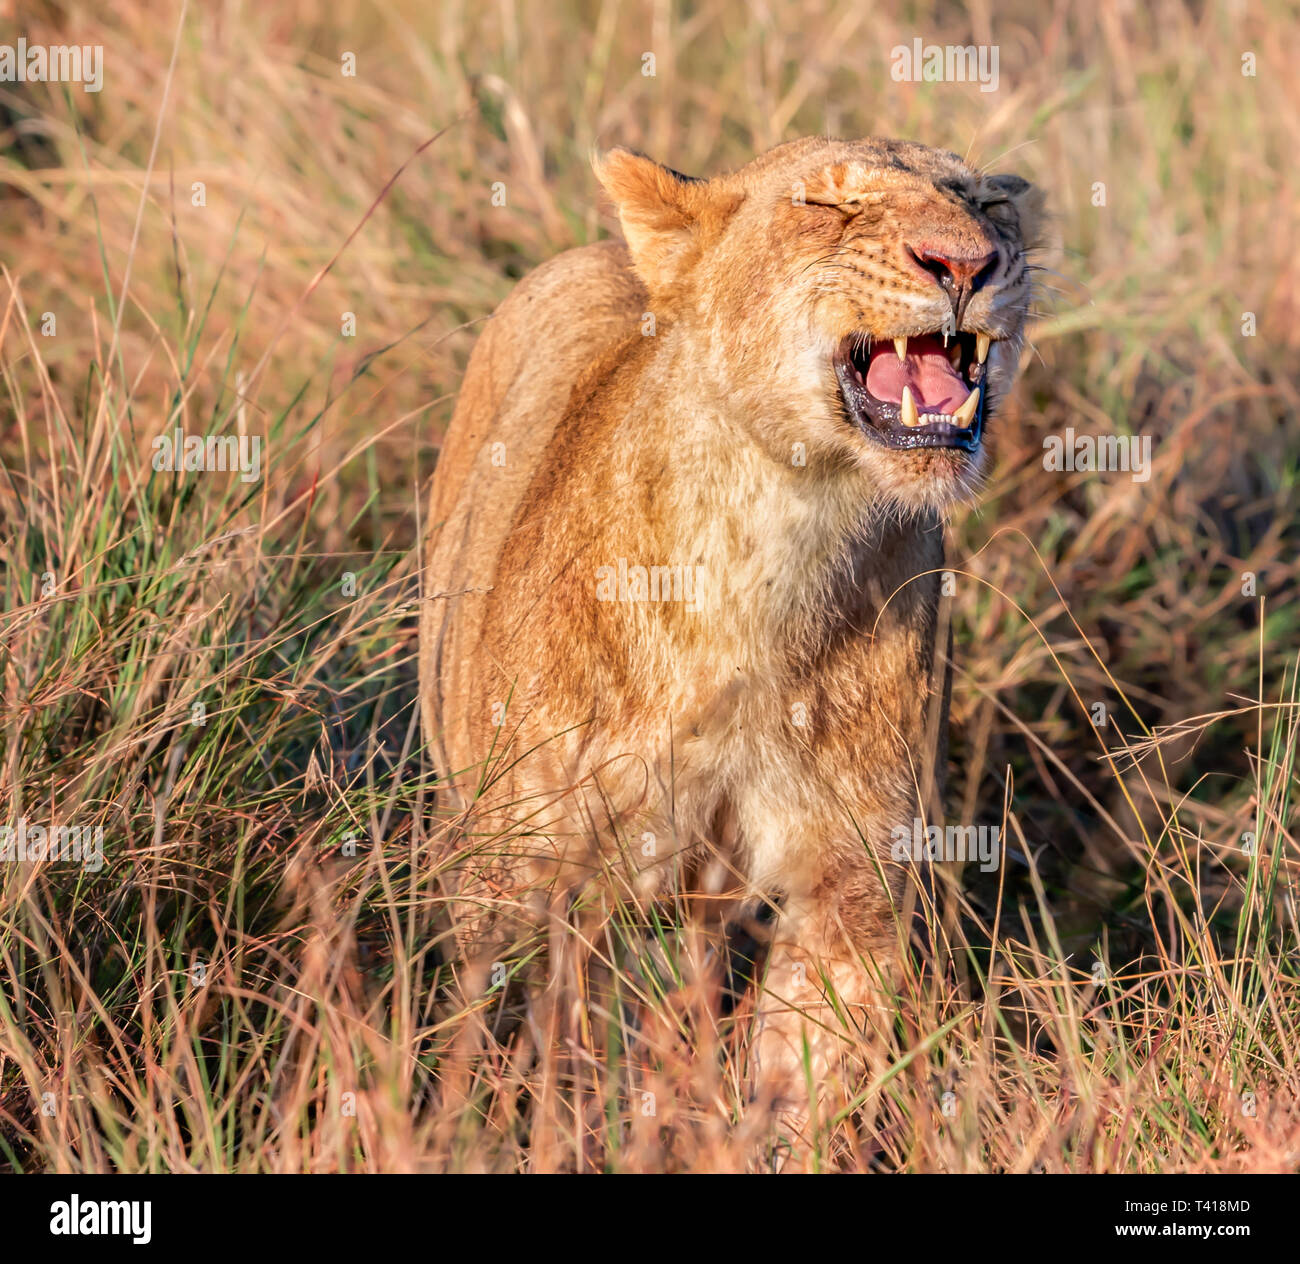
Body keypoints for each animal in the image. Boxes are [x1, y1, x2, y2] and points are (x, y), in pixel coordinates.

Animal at [419, 135, 1045, 1153]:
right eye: (827, 204)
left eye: (987, 203)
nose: (965, 264)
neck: (782, 530)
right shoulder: (525, 870)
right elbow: (501, 1049)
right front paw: (461, 1137)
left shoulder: (850, 878)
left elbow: (800, 1085)